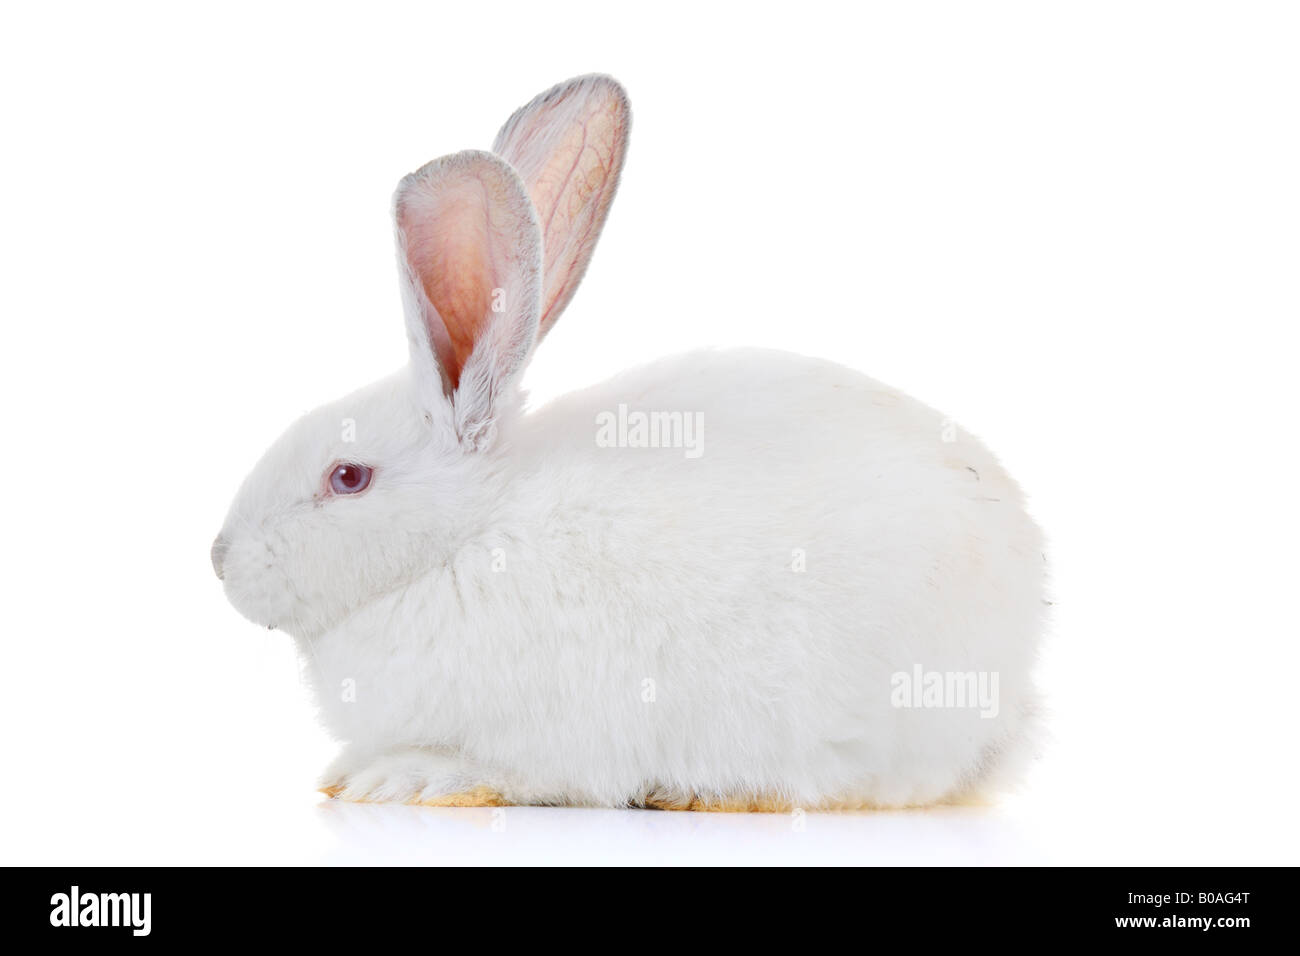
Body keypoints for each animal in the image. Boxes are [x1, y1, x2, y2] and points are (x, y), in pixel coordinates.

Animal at [213, 74, 1046, 811]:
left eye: (347, 477)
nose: (219, 559)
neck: (464, 539)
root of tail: (1010, 700)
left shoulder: (546, 736)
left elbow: (498, 768)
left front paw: (401, 779)